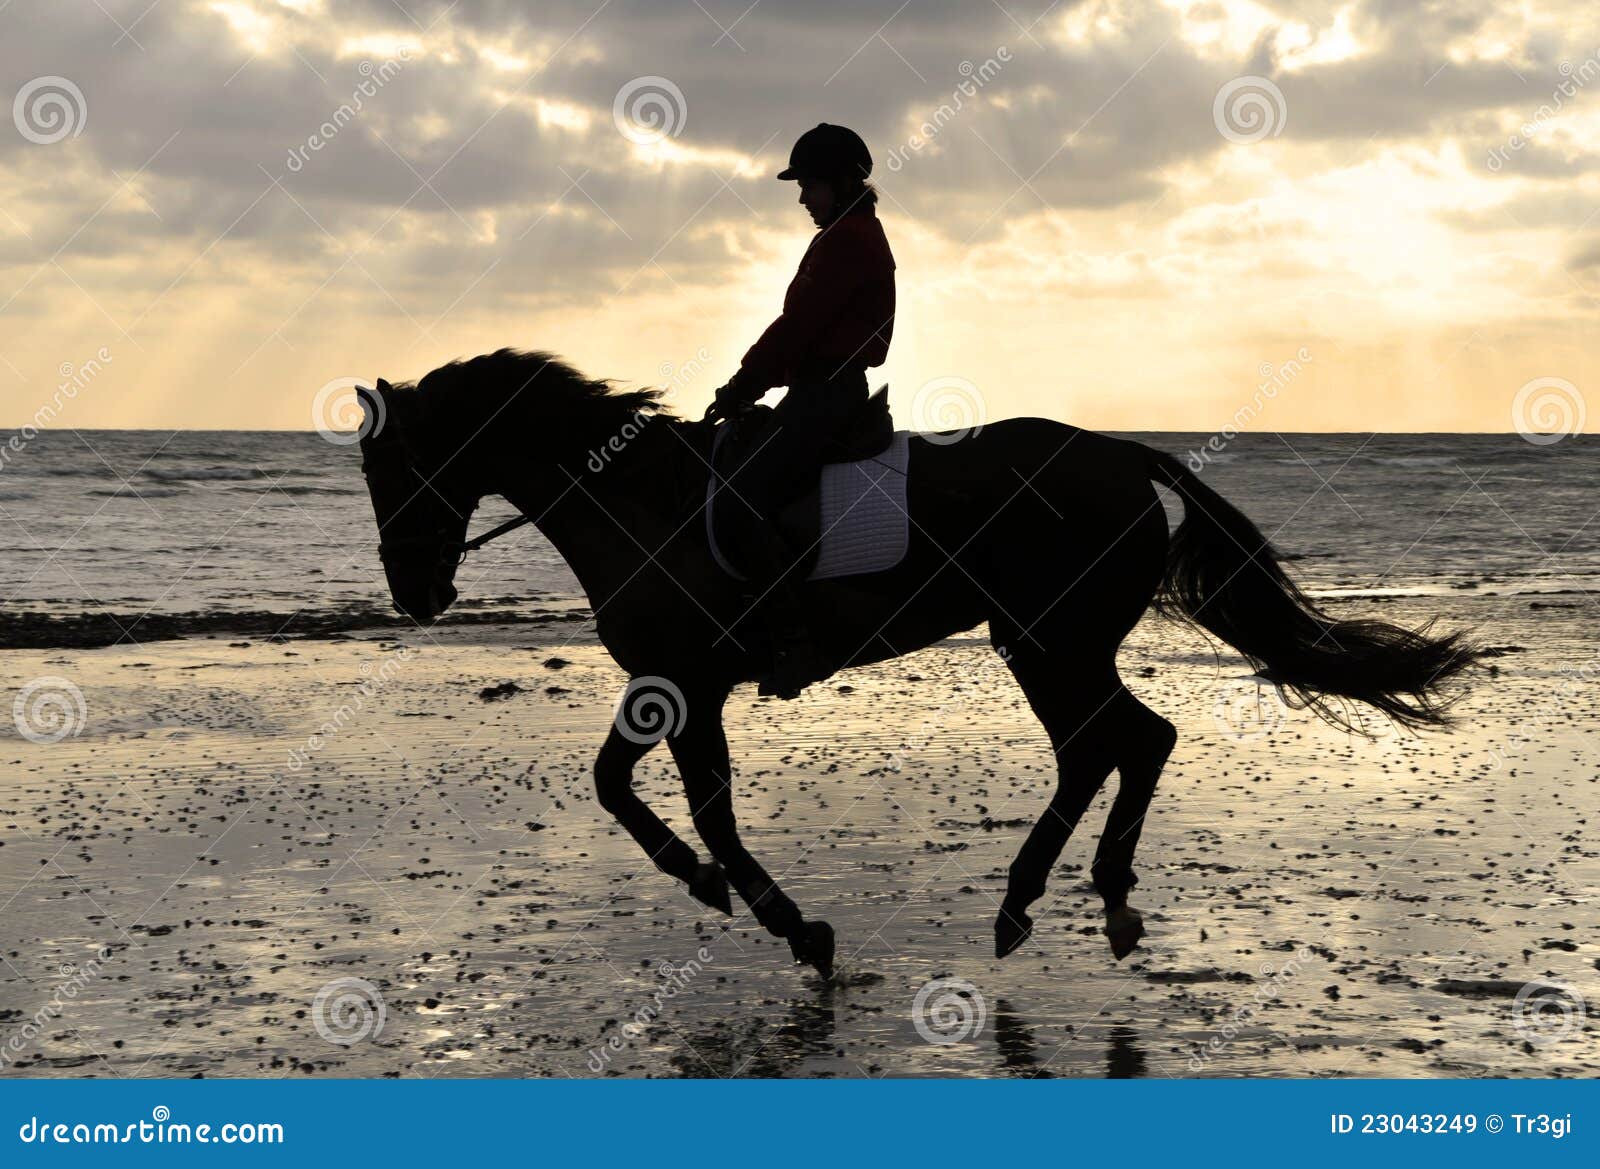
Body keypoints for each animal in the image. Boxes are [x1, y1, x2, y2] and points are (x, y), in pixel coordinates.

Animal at [353, 348, 1482, 977]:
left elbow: (678, 803)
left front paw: (776, 916)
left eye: (394, 465)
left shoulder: (685, 683)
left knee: (1122, 741)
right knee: (1117, 745)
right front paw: (723, 890)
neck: (634, 500)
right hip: (1047, 643)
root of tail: (1123, 452)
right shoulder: (669, 686)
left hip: (1050, 640)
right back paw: (1071, 896)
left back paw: (1062, 895)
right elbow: (632, 790)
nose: (413, 593)